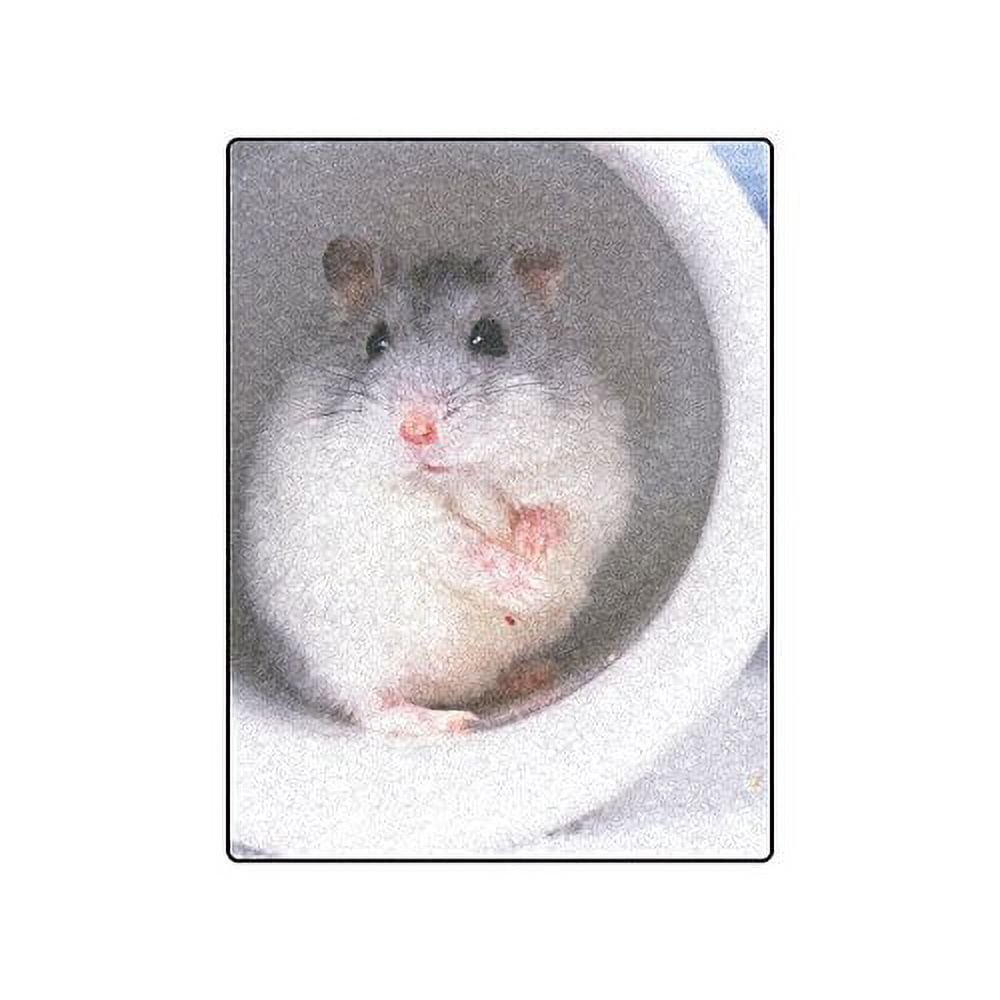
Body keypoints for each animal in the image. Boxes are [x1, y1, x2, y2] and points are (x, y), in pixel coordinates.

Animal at [241, 238, 634, 735]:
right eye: (375, 342)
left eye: (490, 337)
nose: (416, 429)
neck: (460, 476)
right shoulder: (388, 516)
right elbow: (456, 546)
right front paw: (528, 586)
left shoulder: (592, 476)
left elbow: (558, 511)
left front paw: (534, 555)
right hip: (344, 658)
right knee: (373, 708)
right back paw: (449, 721)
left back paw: (532, 675)